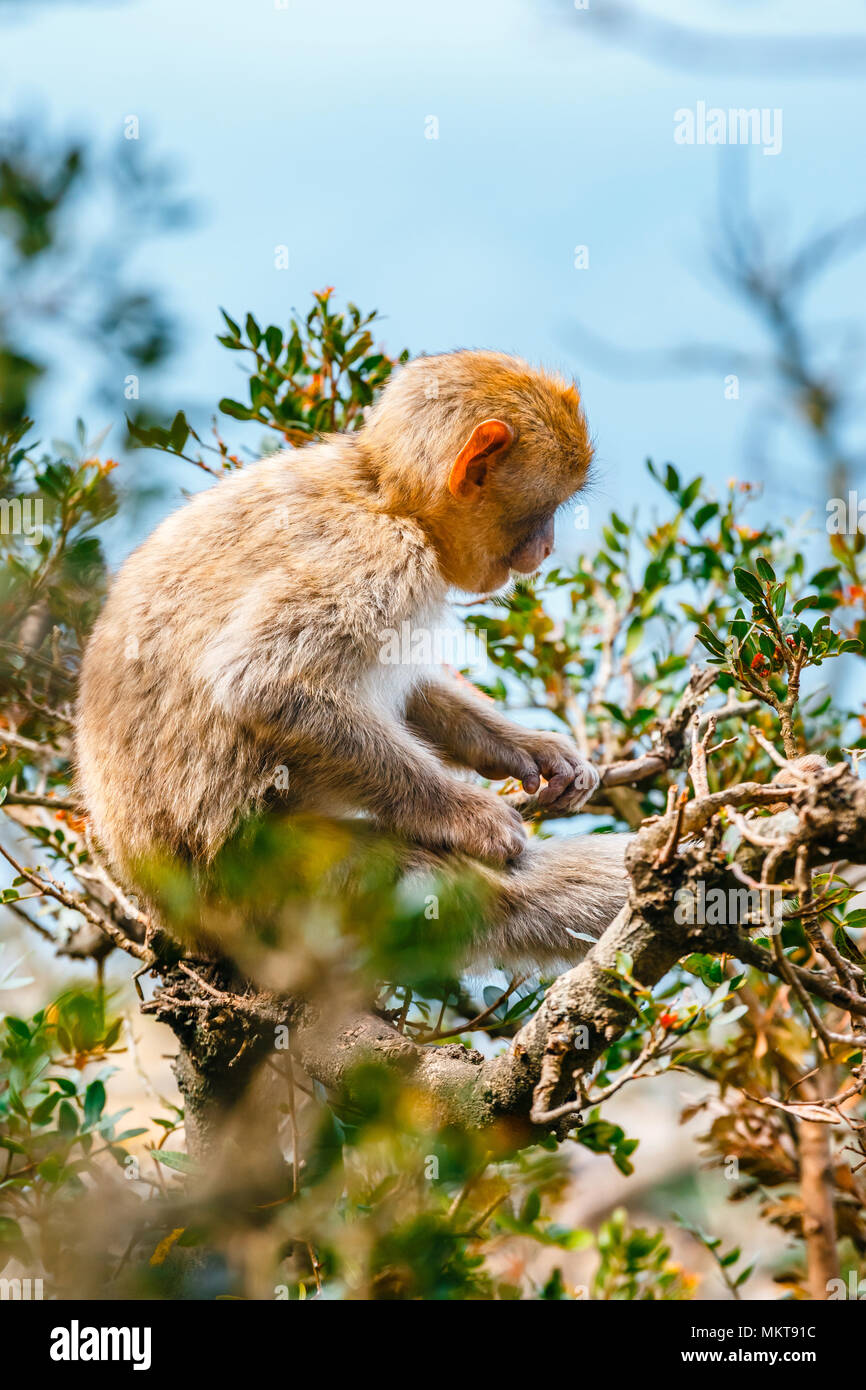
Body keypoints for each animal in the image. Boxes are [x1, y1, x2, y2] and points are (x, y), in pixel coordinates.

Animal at [75, 350, 631, 970]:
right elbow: (263, 686)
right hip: (267, 880)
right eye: (547, 508)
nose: (549, 546)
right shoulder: (379, 555)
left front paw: (532, 750)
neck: (382, 492)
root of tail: (175, 917)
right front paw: (475, 818)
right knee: (486, 892)